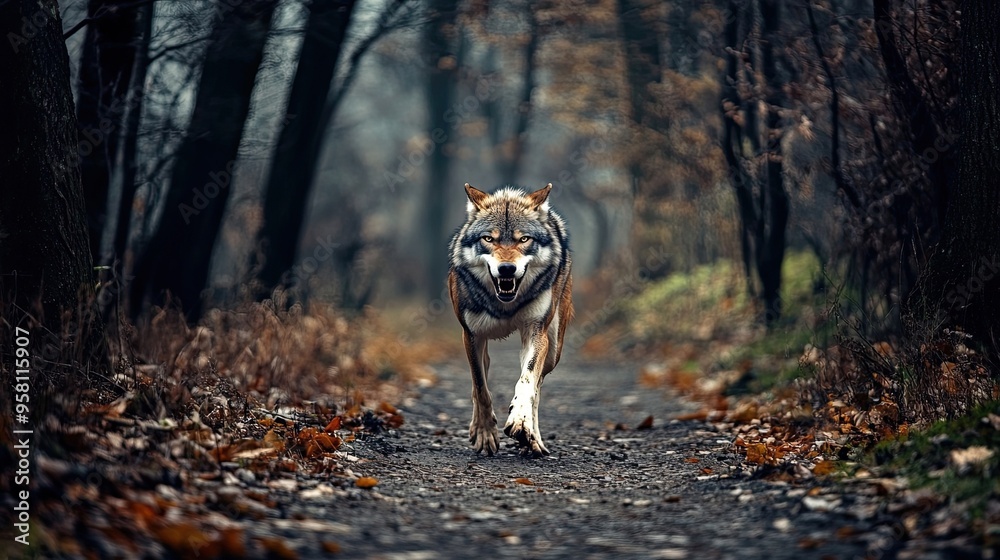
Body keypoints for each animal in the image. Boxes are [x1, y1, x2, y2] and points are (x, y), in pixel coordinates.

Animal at [448, 183, 574, 457]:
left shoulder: (536, 332)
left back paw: (533, 439)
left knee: (537, 388)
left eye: (524, 239)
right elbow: (481, 389)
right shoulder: (471, 335)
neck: (504, 305)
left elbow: (526, 382)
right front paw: (485, 434)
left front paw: (520, 422)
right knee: (479, 380)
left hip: (553, 351)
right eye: (488, 239)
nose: (507, 269)